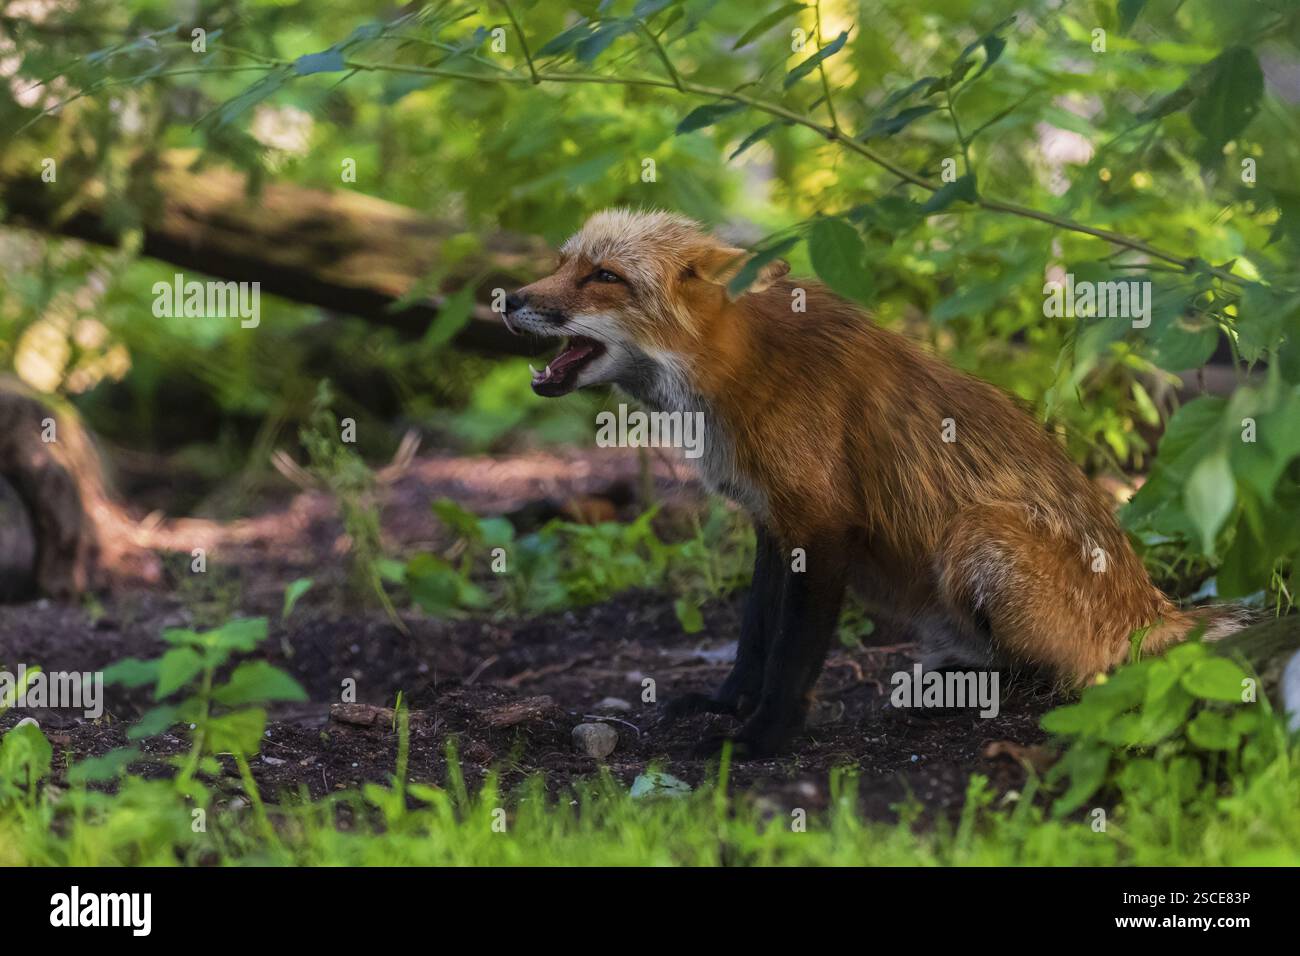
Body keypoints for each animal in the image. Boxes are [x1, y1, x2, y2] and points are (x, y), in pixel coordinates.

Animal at [502, 208, 1245, 757]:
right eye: (562, 262)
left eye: (603, 275)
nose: (506, 298)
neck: (740, 374)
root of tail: (1152, 607)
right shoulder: (773, 522)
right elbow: (754, 635)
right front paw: (726, 705)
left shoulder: (822, 525)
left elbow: (792, 654)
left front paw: (762, 737)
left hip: (979, 535)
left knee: (1066, 674)